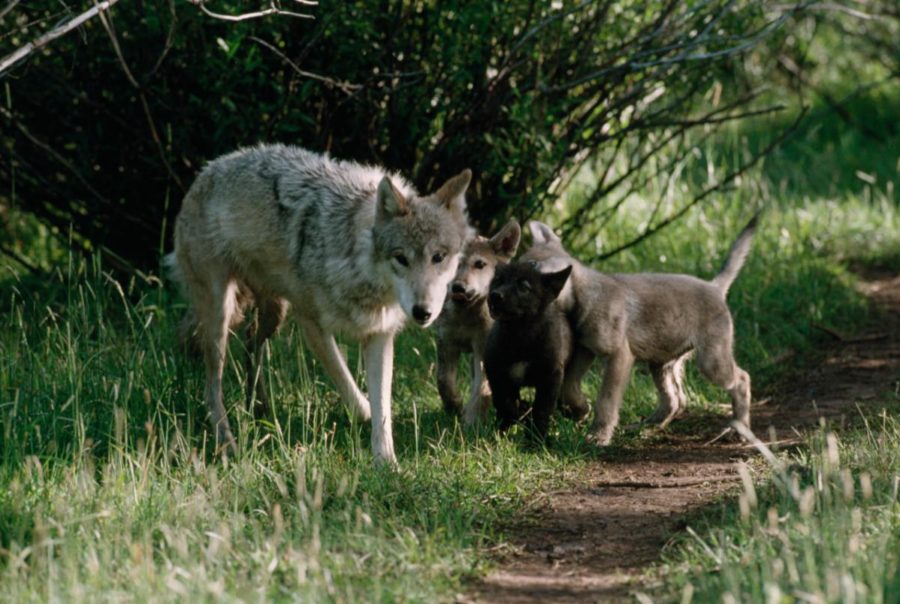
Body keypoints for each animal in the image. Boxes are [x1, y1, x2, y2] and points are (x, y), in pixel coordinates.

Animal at [168, 144, 472, 465]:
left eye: (438, 257)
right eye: (401, 258)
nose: (422, 312)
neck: (357, 260)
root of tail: (206, 171)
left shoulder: (379, 334)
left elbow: (382, 407)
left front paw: (386, 462)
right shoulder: (310, 323)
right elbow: (350, 387)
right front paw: (364, 415)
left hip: (273, 313)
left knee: (251, 343)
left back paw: (259, 408)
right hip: (221, 319)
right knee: (211, 385)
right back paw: (227, 442)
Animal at [434, 220, 521, 426]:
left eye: (479, 264)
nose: (458, 287)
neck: (466, 317)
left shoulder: (483, 348)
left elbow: (482, 389)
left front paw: (472, 420)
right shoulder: (446, 342)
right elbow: (444, 382)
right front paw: (454, 407)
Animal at [483, 261, 574, 440]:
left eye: (524, 287)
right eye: (498, 280)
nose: (495, 296)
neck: (520, 335)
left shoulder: (551, 375)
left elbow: (542, 408)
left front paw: (537, 437)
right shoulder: (495, 371)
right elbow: (504, 402)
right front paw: (509, 424)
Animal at [520, 216, 758, 445]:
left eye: (530, 270)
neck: (582, 297)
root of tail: (715, 287)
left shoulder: (619, 356)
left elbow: (605, 401)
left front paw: (599, 435)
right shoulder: (584, 351)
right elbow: (569, 387)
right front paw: (579, 410)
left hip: (711, 363)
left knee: (742, 379)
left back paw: (738, 426)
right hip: (661, 364)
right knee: (675, 401)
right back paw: (642, 427)